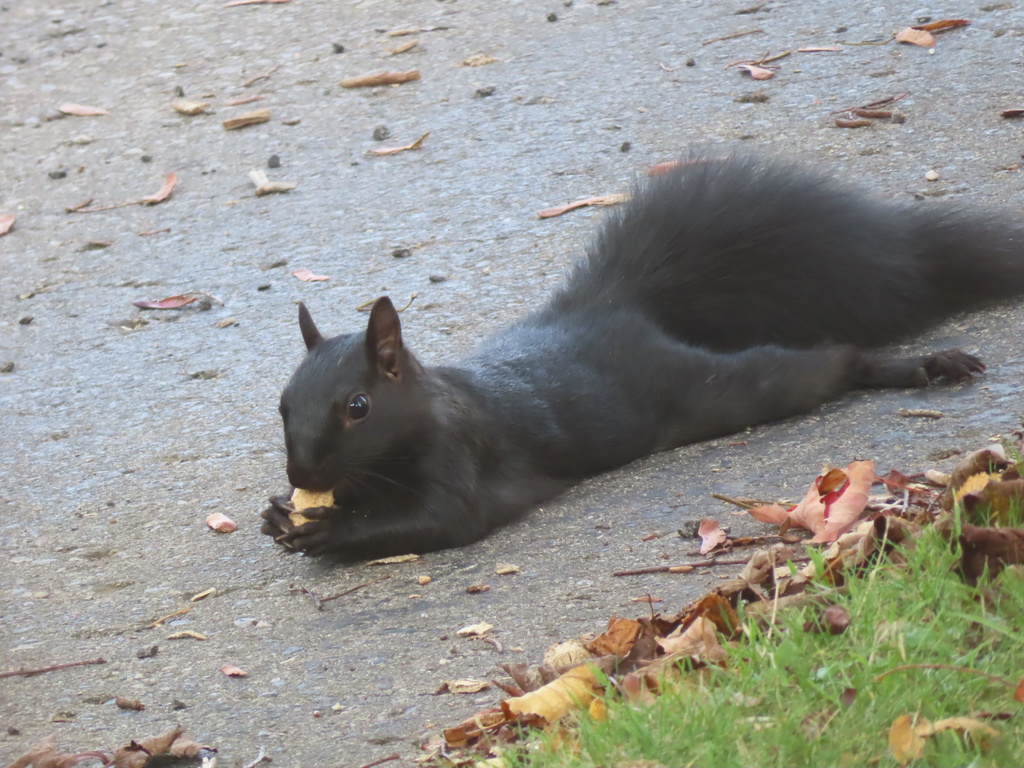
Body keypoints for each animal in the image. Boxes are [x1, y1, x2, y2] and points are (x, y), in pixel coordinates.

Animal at [260, 154, 1024, 559]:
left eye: (359, 406)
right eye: (282, 405)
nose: (302, 472)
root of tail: (608, 309)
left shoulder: (462, 461)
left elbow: (442, 519)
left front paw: (330, 527)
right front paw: (280, 513)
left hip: (721, 387)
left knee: (829, 362)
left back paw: (917, 366)